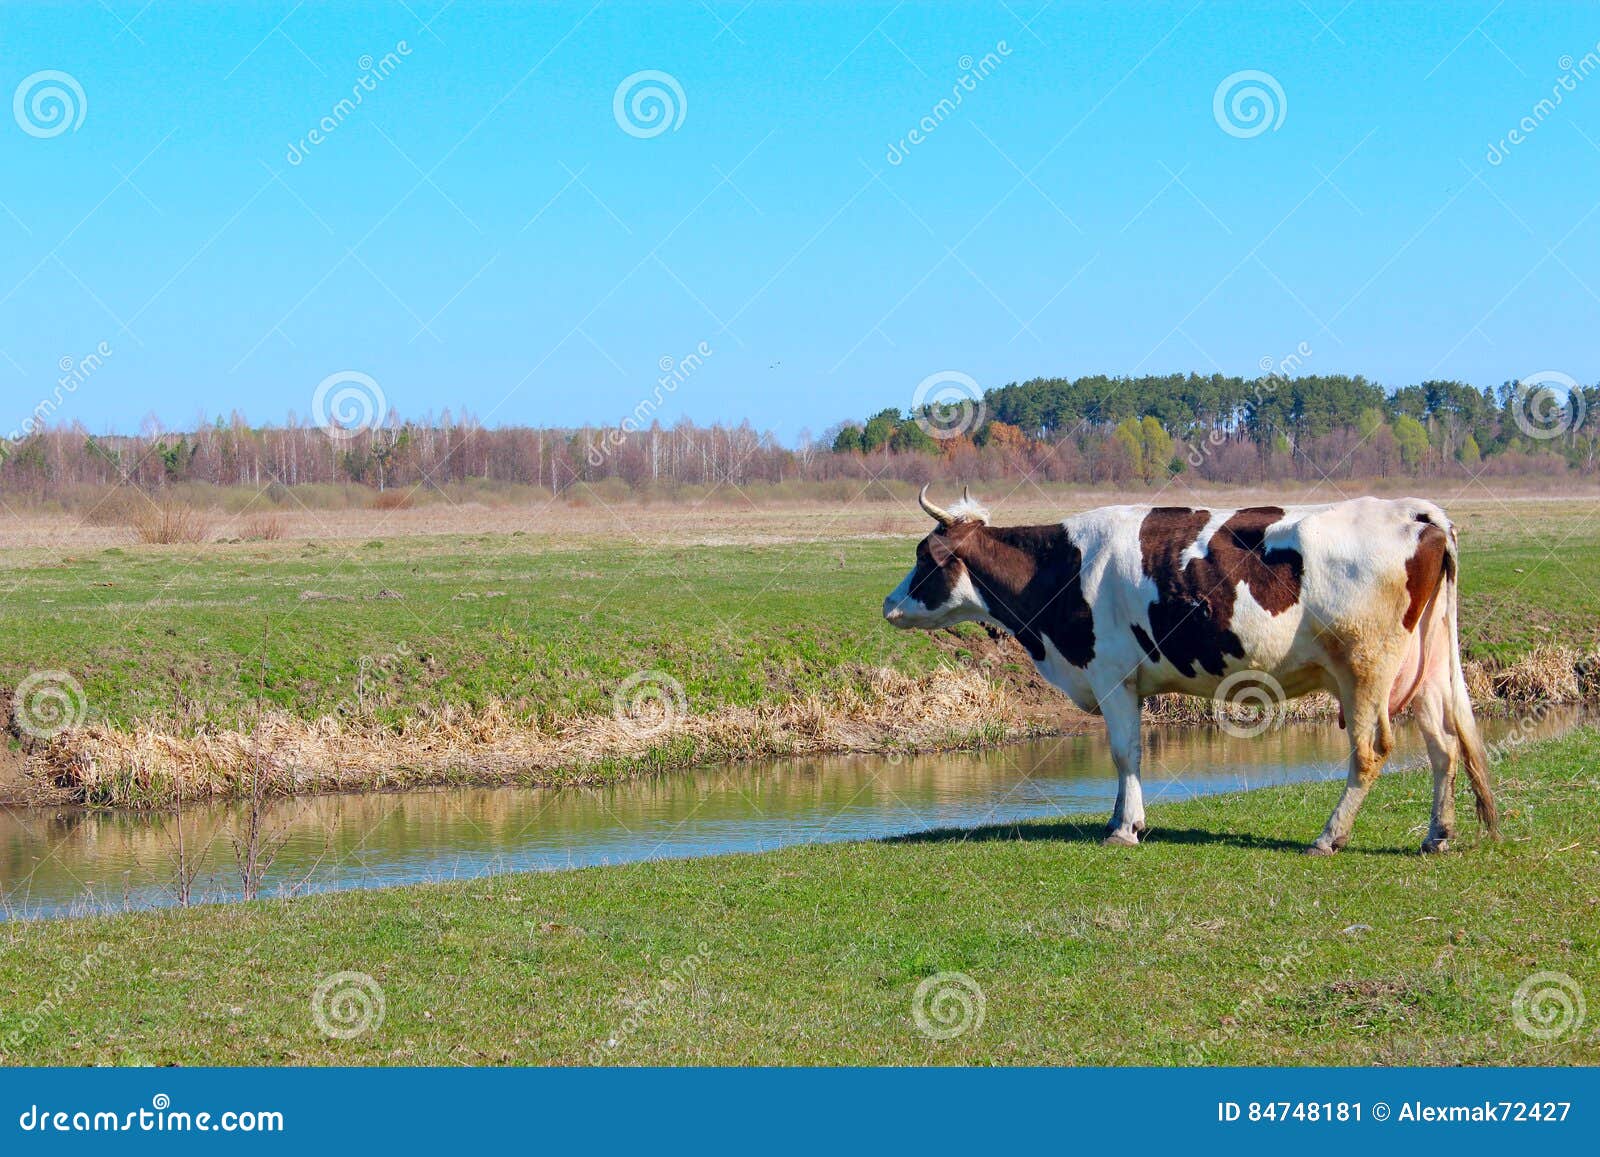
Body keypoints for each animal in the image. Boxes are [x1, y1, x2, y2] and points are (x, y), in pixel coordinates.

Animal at [882, 487, 1499, 855]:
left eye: (923, 557)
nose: (887, 604)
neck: (1060, 570)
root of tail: (1414, 509)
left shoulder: (1111, 675)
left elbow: (1125, 752)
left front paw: (1125, 829)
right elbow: (1127, 757)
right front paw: (1119, 818)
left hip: (1366, 667)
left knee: (1371, 753)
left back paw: (1329, 836)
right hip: (1423, 669)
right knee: (1445, 746)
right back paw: (1437, 835)